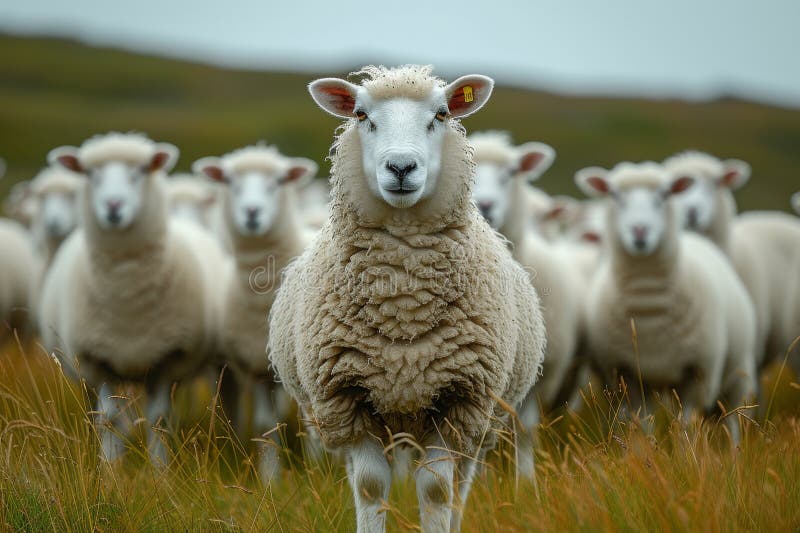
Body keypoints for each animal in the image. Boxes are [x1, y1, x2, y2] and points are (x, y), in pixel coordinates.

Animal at [39, 132, 223, 464]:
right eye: (90, 173)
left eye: (139, 171)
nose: (113, 205)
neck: (126, 296)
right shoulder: (96, 359)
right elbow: (110, 419)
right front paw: (110, 467)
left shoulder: (166, 359)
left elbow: (159, 418)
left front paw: (160, 469)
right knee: (98, 412)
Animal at [192, 144, 317, 482]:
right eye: (230, 182)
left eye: (278, 181)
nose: (252, 212)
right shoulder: (259, 366)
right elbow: (264, 424)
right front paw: (270, 476)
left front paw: (321, 469)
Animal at [268, 66, 545, 532]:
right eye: (361, 115)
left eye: (441, 114)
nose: (401, 166)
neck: (402, 299)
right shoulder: (346, 398)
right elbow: (369, 487)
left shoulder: (460, 400)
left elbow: (436, 490)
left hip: (483, 422)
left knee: (461, 486)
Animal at [575, 161, 757, 442]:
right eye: (615, 196)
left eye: (663, 195)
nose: (640, 230)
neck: (647, 302)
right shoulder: (627, 374)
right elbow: (642, 424)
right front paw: (645, 450)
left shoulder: (697, 373)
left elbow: (683, 425)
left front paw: (686, 451)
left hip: (737, 374)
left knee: (731, 419)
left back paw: (734, 449)